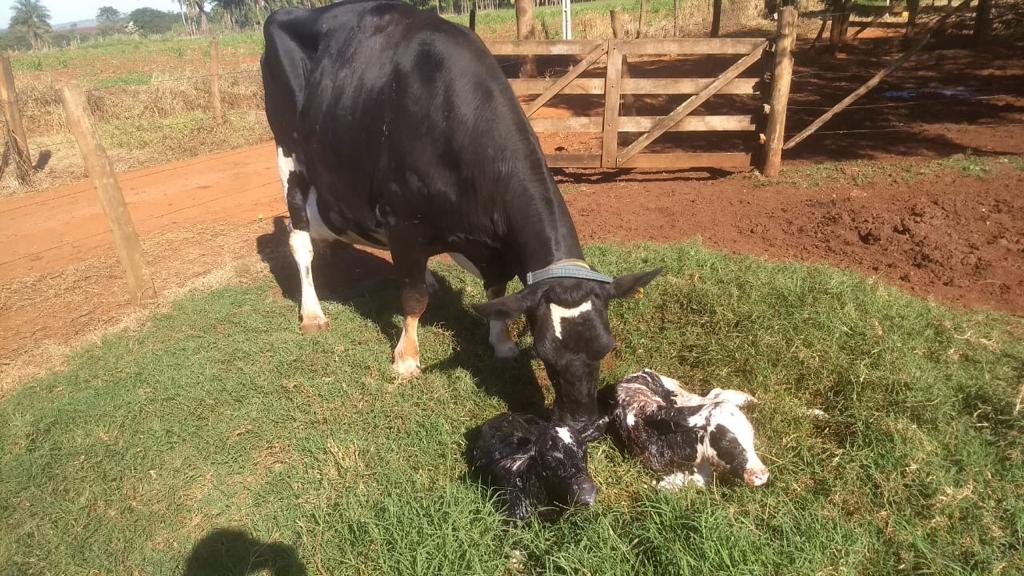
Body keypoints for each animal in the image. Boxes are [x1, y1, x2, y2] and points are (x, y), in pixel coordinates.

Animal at [261, 0, 660, 440]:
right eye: (543, 351)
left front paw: (500, 343)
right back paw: (313, 313)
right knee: (300, 240)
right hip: (288, 155)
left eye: (607, 347)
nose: (584, 426)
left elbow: (496, 291)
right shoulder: (403, 223)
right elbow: (412, 298)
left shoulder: (493, 244)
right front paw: (406, 358)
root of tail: (284, 14)